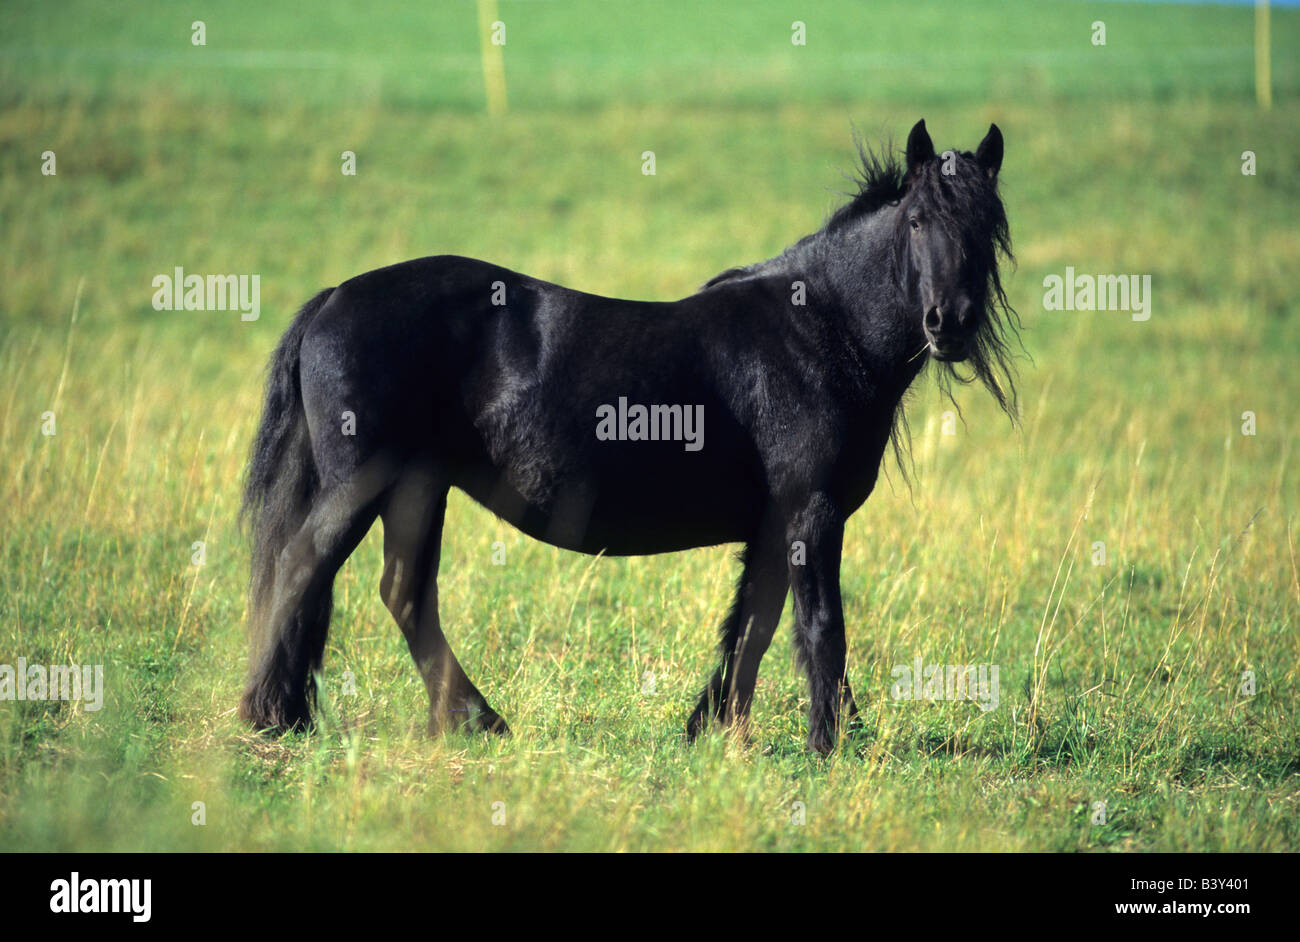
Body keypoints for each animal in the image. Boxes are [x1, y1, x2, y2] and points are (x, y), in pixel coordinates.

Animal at [238, 119, 1018, 753]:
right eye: (916, 220)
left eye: (988, 226)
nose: (951, 322)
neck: (817, 330)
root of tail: (334, 297)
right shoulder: (810, 514)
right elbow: (819, 626)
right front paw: (831, 741)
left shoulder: (774, 525)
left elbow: (753, 625)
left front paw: (715, 730)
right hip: (363, 486)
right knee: (305, 568)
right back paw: (275, 717)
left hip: (418, 488)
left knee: (403, 593)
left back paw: (465, 719)